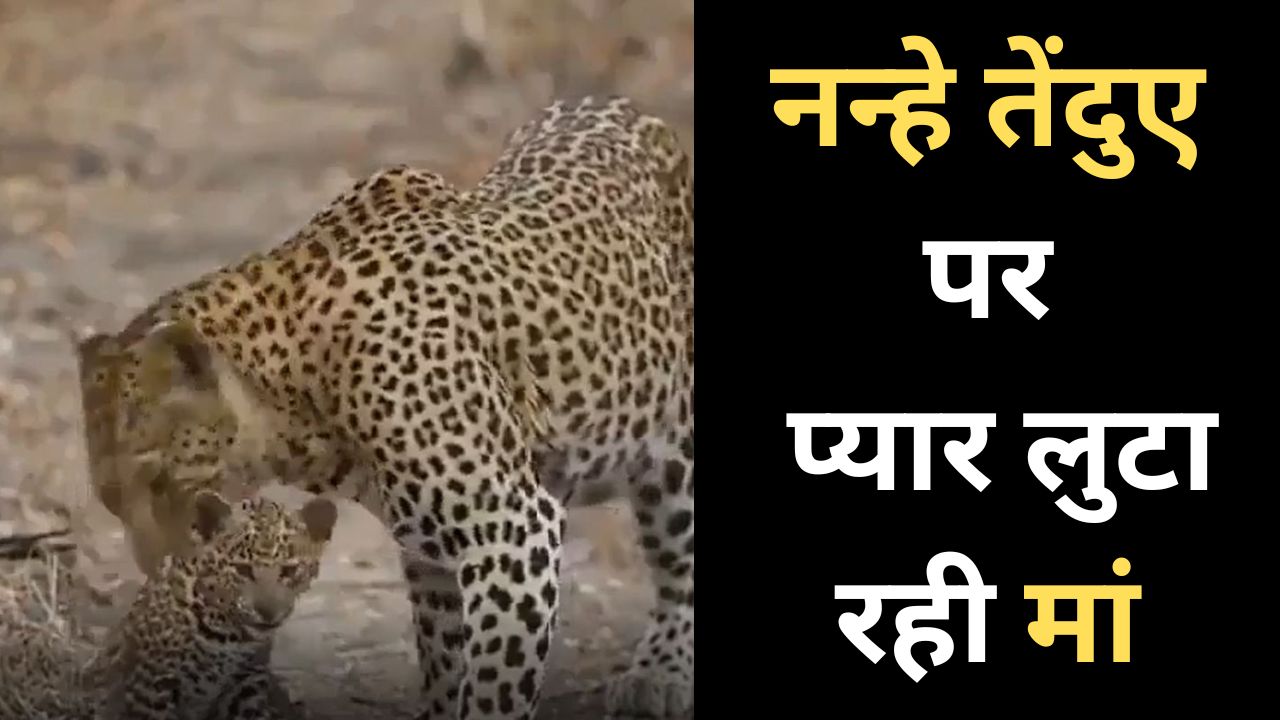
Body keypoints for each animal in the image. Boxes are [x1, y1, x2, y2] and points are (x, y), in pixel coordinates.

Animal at [0, 490, 337, 720]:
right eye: (242, 570)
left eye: (290, 571)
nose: (267, 612)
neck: (229, 635)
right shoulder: (152, 686)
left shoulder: (246, 687)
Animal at [72, 94, 694, 719]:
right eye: (109, 501)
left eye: (162, 481)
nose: (166, 583)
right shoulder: (431, 554)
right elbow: (445, 653)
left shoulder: (513, 529)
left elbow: (496, 681)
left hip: (677, 452)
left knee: (677, 560)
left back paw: (660, 674)